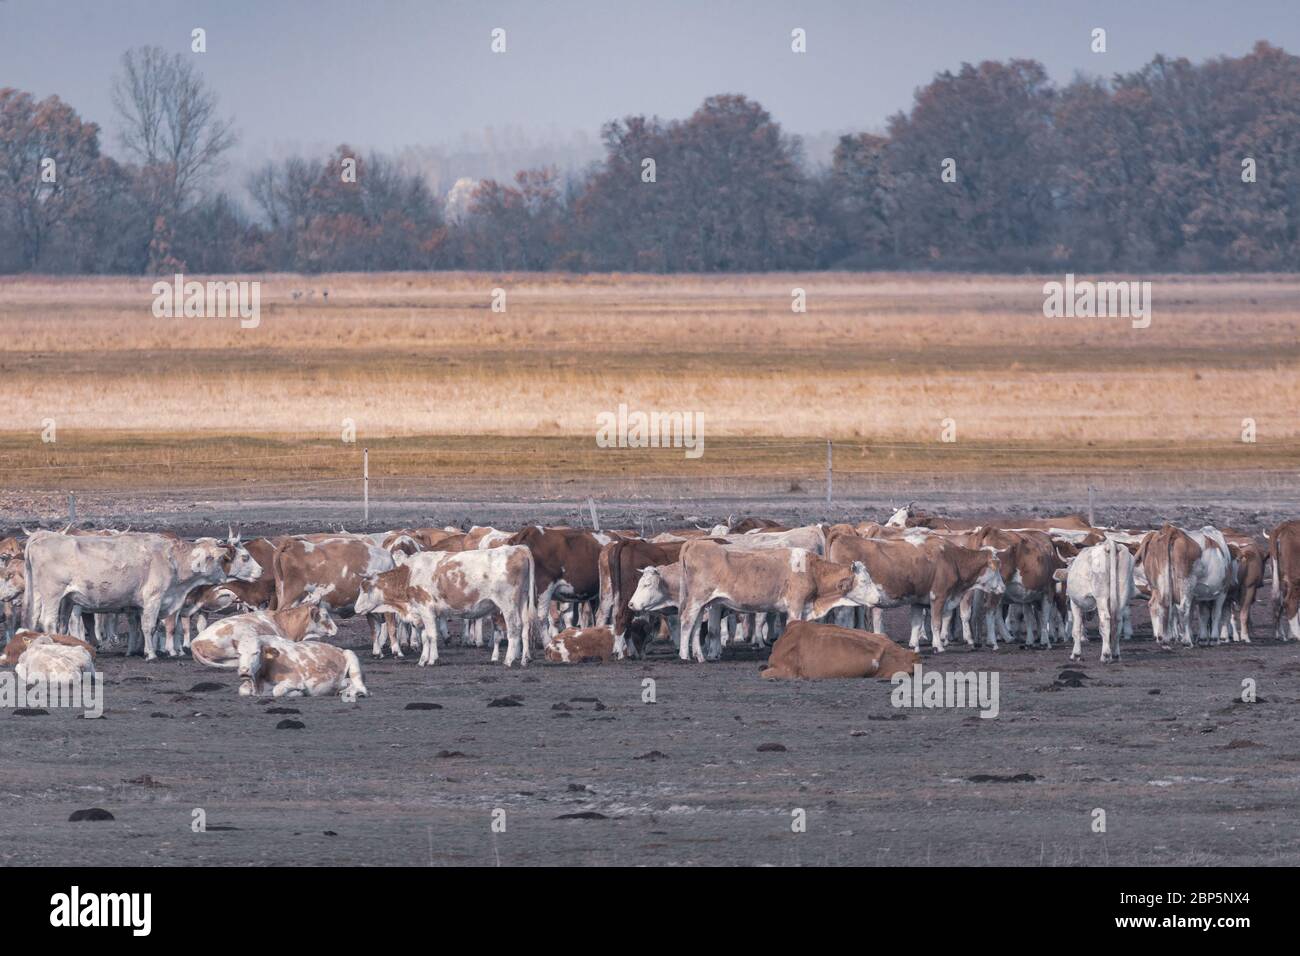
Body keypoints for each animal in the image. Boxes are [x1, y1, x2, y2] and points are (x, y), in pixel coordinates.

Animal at [23, 530, 261, 660]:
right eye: (245, 557)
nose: (261, 571)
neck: (173, 560)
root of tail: (42, 536)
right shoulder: (153, 599)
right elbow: (150, 627)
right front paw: (152, 653)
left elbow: (144, 627)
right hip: (53, 595)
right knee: (49, 621)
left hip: (63, 599)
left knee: (58, 623)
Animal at [234, 634, 368, 702]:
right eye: (239, 653)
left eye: (256, 652)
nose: (244, 671)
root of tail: (339, 649)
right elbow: (242, 690)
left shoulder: (295, 680)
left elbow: (277, 690)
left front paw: (297, 693)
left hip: (351, 655)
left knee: (362, 688)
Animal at [354, 545, 536, 667]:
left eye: (364, 589)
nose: (355, 609)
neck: (410, 574)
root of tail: (519, 548)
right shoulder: (424, 613)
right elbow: (425, 636)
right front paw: (425, 659)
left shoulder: (425, 608)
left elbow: (431, 636)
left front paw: (430, 660)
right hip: (522, 600)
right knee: (525, 626)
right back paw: (524, 659)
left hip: (507, 604)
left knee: (514, 627)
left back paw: (509, 660)